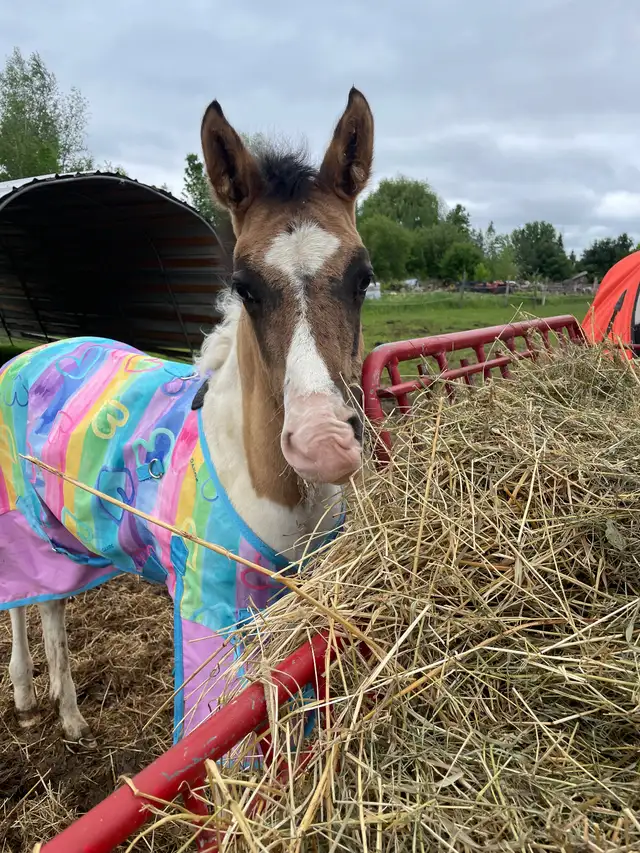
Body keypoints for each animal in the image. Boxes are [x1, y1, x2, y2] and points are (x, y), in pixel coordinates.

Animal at [0, 87, 375, 748]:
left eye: (364, 276)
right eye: (244, 286)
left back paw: (62, 709)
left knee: (51, 603)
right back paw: (33, 701)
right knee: (26, 601)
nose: (323, 441)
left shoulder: (302, 598)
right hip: (19, 523)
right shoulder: (212, 609)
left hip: (65, 532)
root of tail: (27, 354)